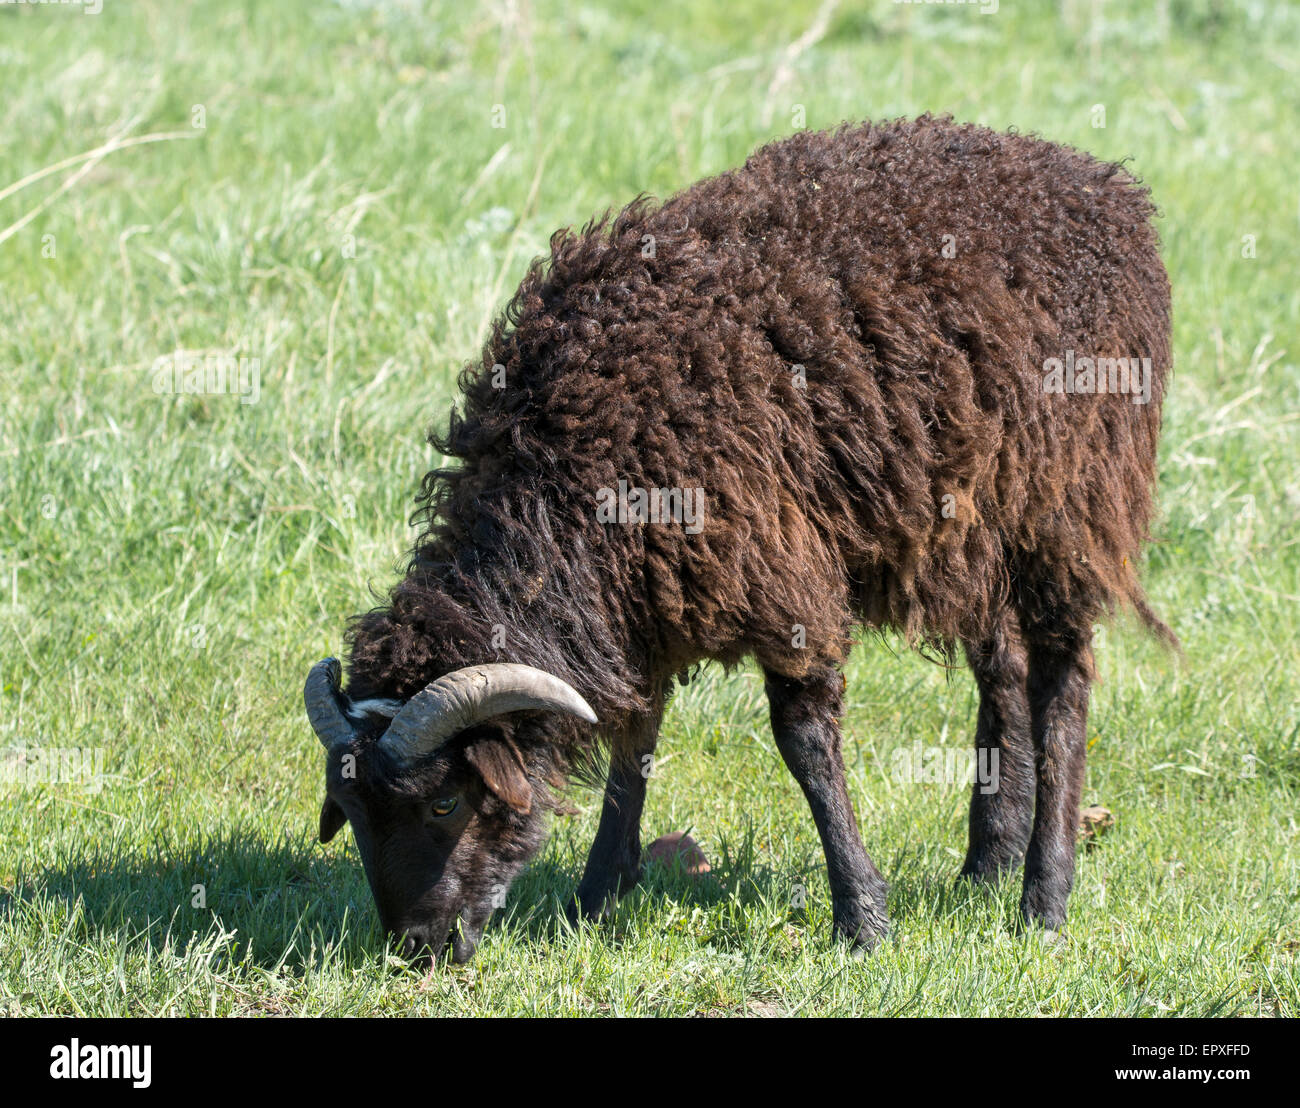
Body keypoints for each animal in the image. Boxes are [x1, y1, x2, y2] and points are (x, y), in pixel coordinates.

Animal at [304, 114, 1174, 963]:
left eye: (445, 800)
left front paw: (862, 920)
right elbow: (634, 737)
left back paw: (1043, 900)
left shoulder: (774, 566)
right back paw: (986, 865)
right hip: (976, 522)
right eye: (350, 807)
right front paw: (596, 896)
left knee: (1062, 684)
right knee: (1004, 669)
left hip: (1067, 502)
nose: (415, 949)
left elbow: (805, 746)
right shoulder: (643, 592)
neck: (565, 469)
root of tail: (1100, 182)